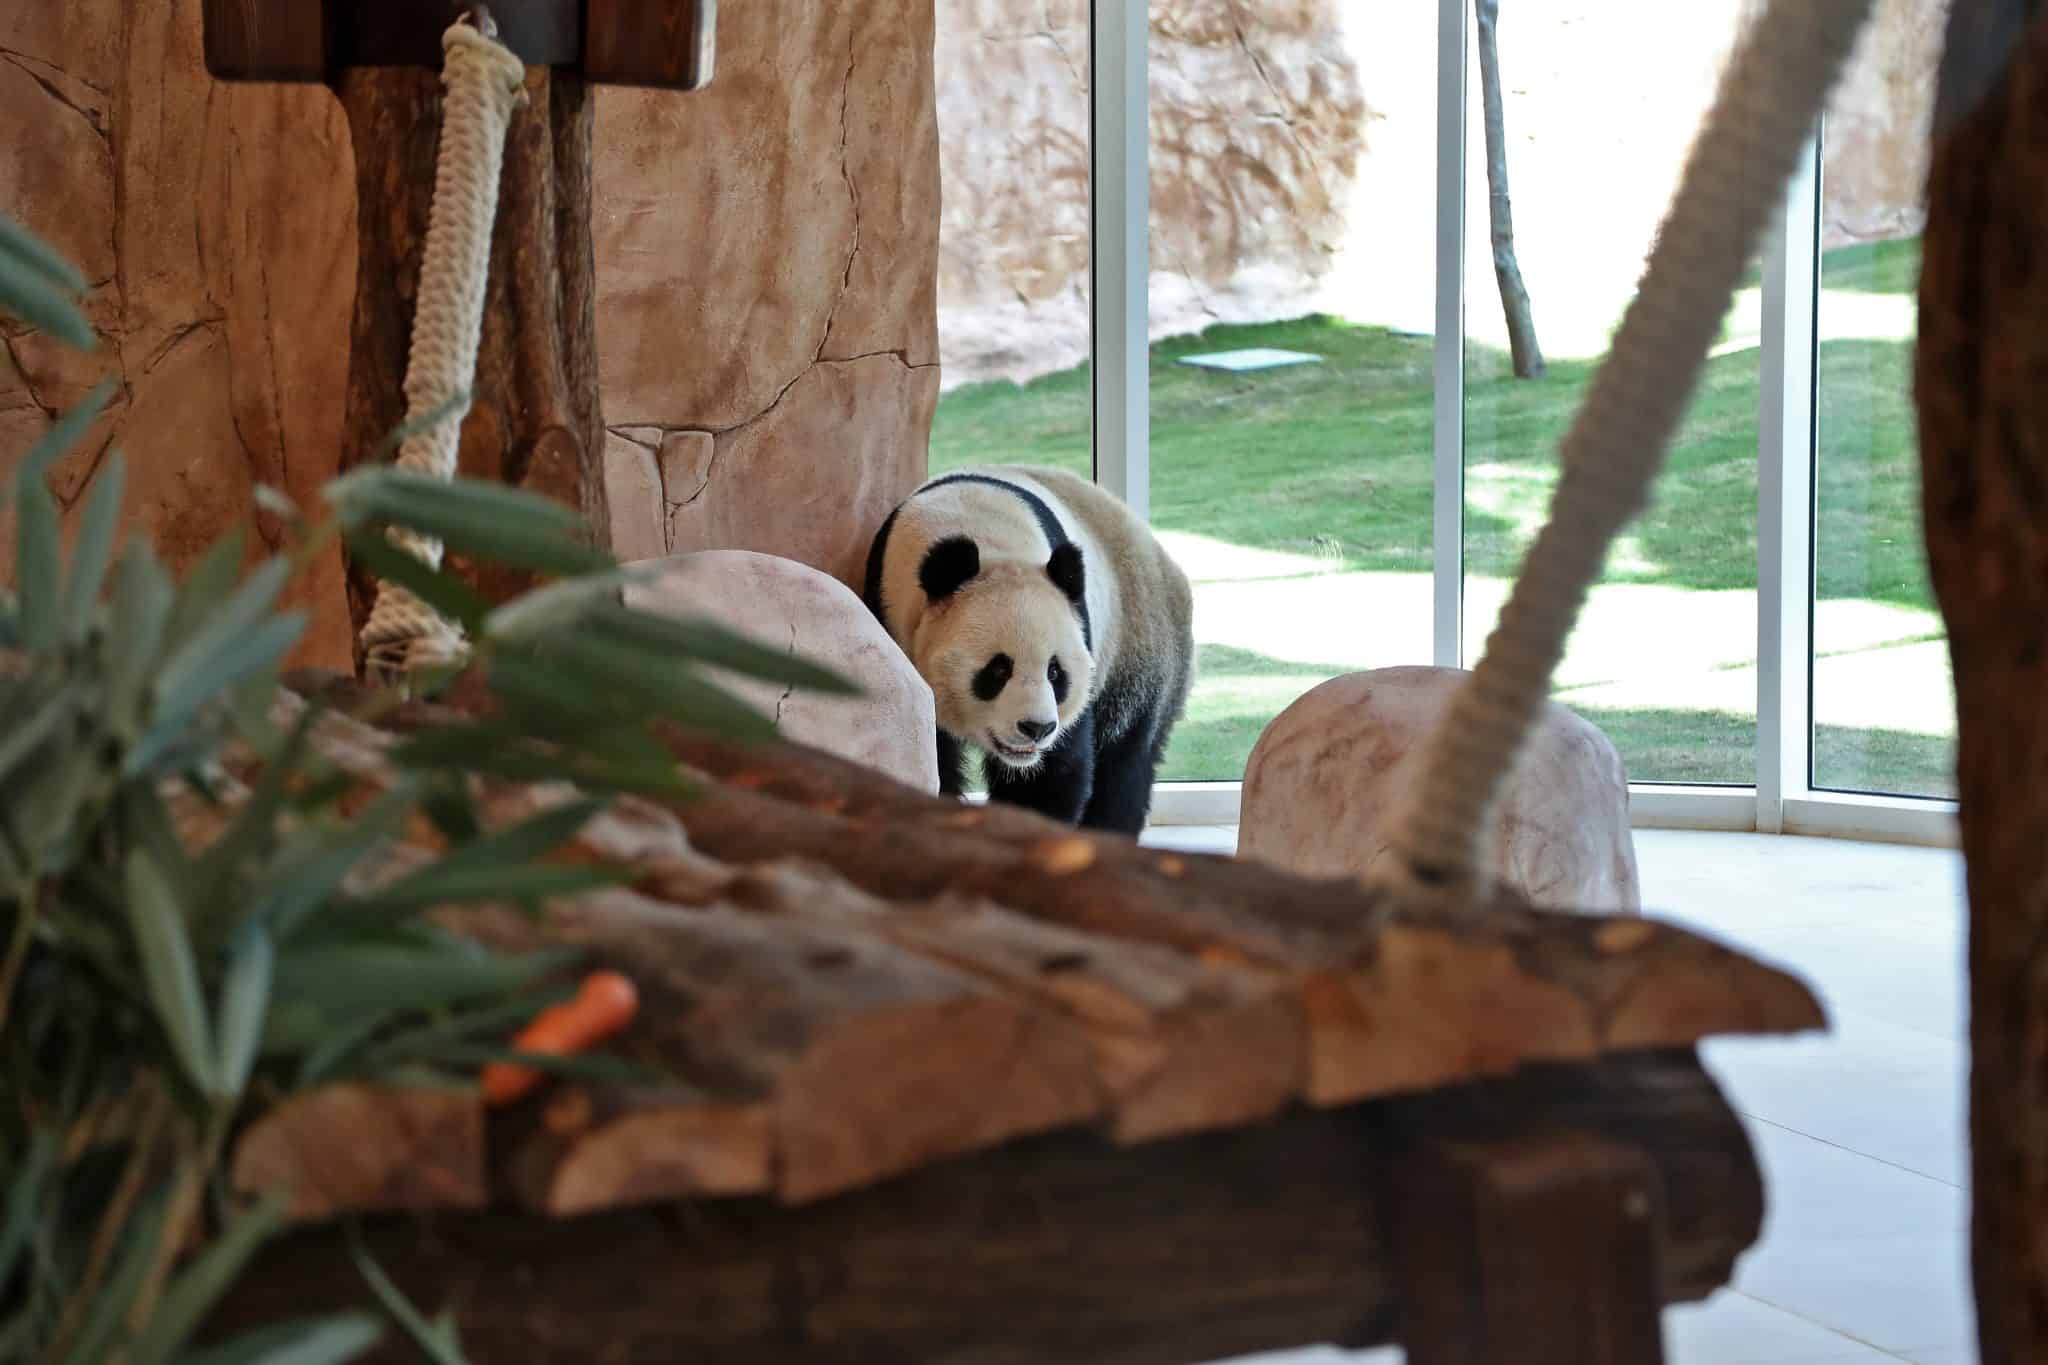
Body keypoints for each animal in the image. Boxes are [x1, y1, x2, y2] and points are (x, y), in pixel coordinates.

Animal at [863, 463, 1195, 835]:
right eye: (997, 669)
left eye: (1055, 671)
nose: (1037, 728)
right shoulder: (888, 612)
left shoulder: (1078, 627)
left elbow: (1050, 775)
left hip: (1137, 637)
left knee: (1124, 750)